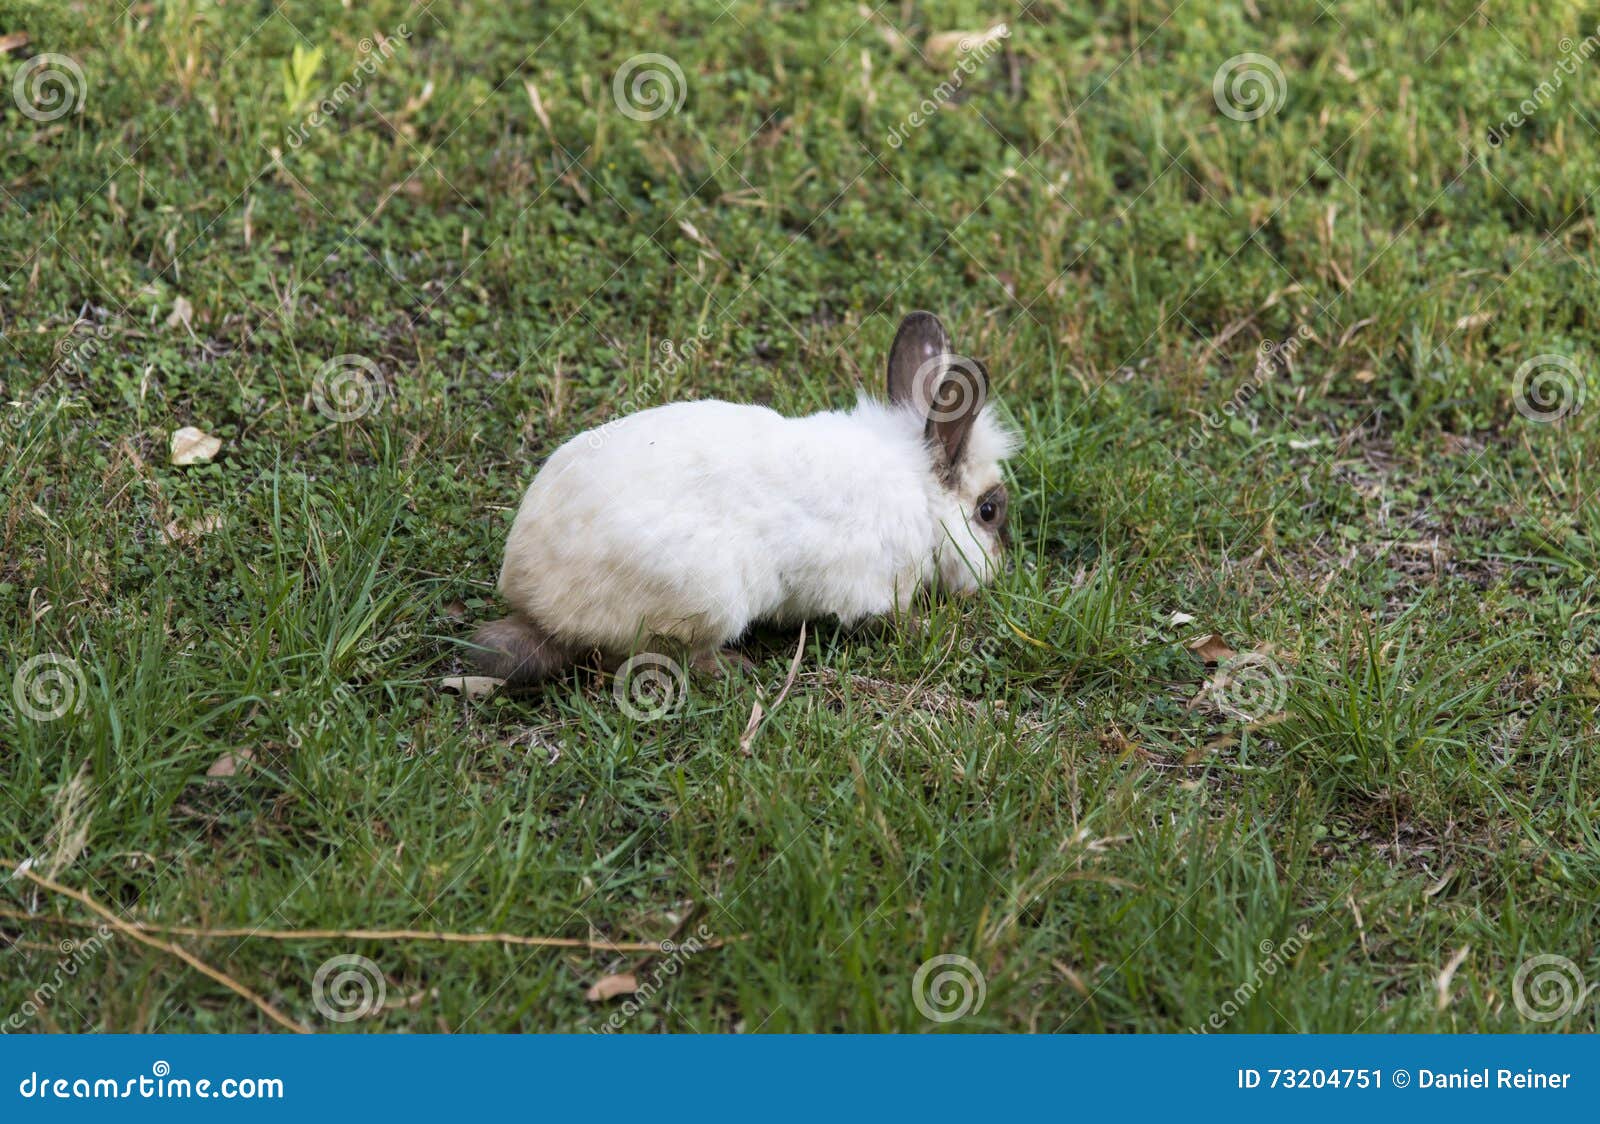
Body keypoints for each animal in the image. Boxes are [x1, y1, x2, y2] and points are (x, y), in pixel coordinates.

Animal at [468, 311, 1017, 685]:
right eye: (989, 511)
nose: (996, 573)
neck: (922, 496)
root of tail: (536, 599)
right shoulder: (871, 586)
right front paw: (928, 629)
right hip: (708, 603)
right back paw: (734, 668)